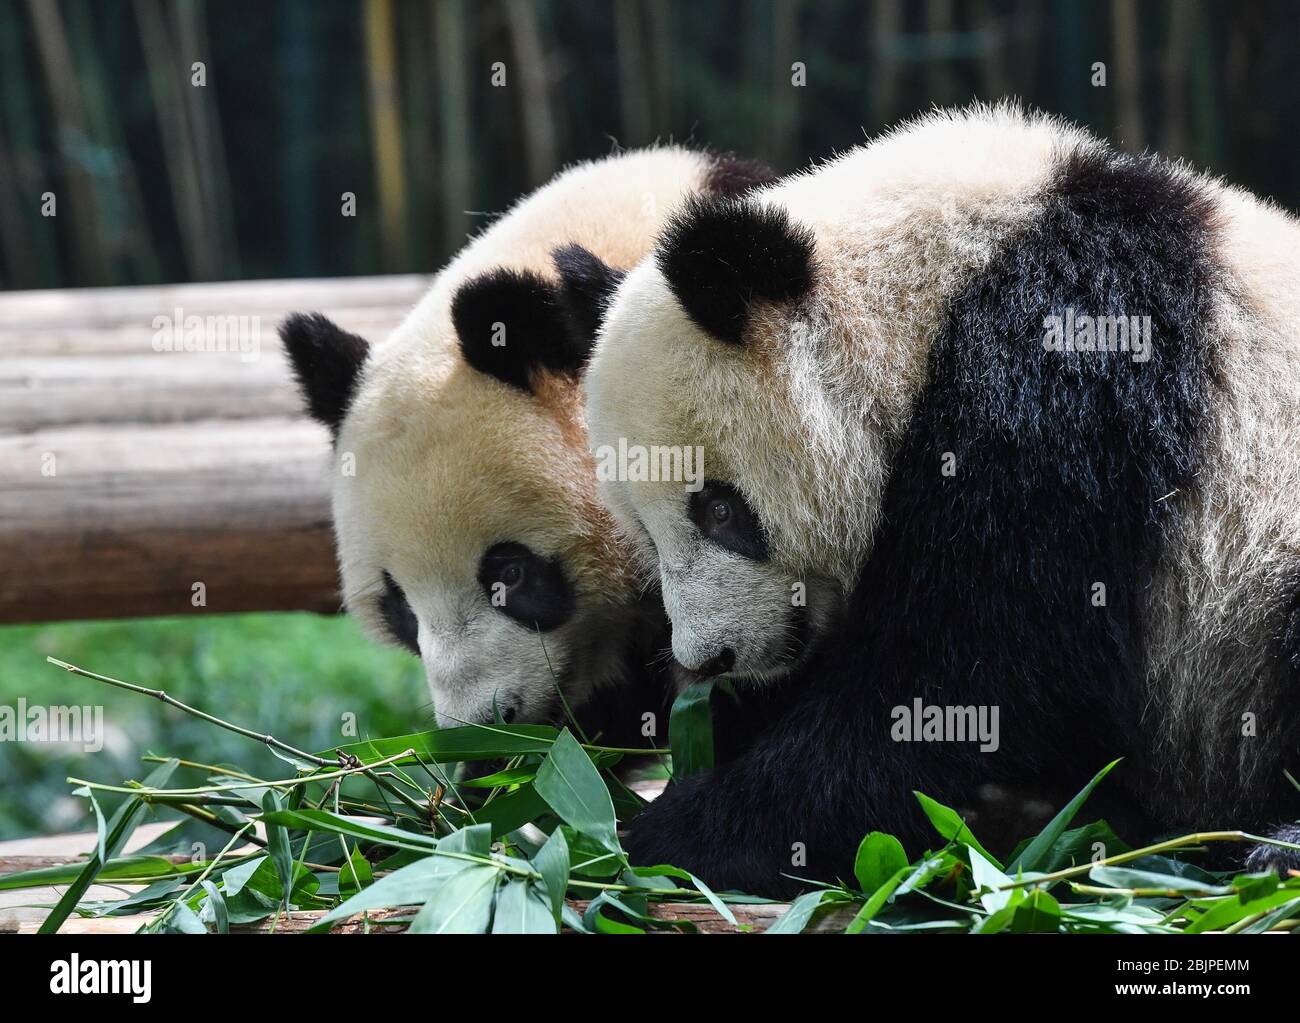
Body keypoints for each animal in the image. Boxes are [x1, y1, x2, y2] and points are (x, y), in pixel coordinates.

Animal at [562, 105, 1300, 895]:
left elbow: (972, 675)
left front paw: (675, 831)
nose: (710, 657)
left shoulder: (1063, 379)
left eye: (721, 510)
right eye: (646, 532)